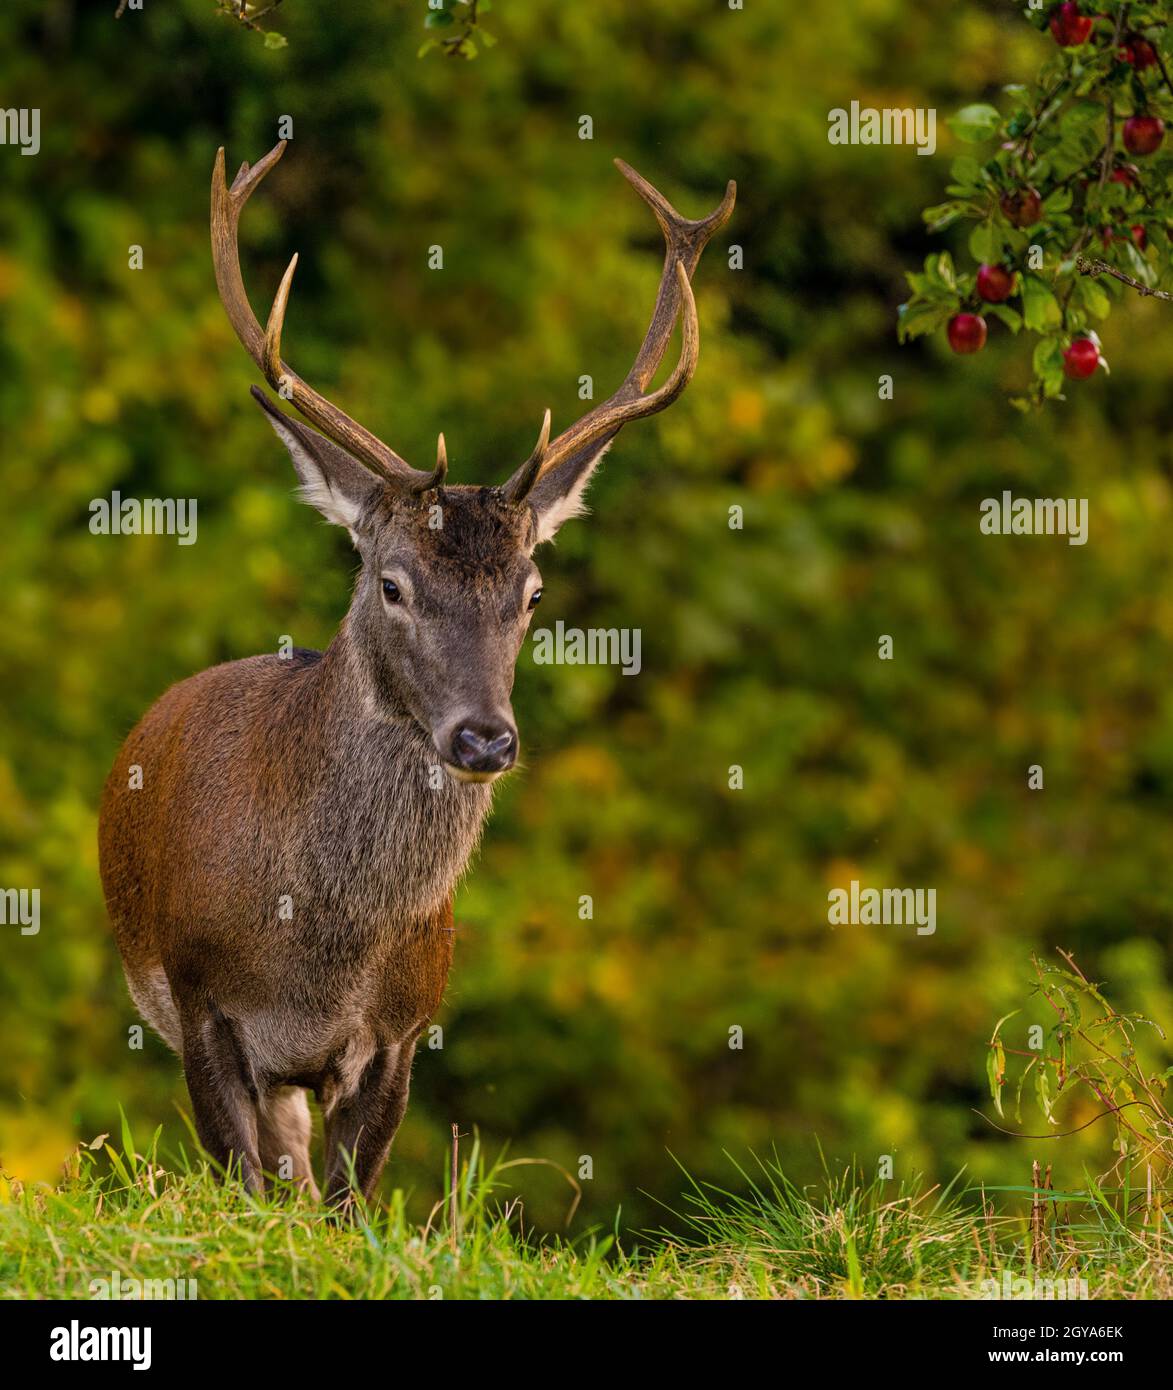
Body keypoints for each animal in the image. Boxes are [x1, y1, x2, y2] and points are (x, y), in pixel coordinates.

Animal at [98, 140, 734, 1208]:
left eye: (532, 591)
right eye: (392, 584)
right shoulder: (199, 1001)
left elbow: (349, 1201)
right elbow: (247, 1184)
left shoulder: (403, 1028)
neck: (315, 955)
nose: (484, 736)